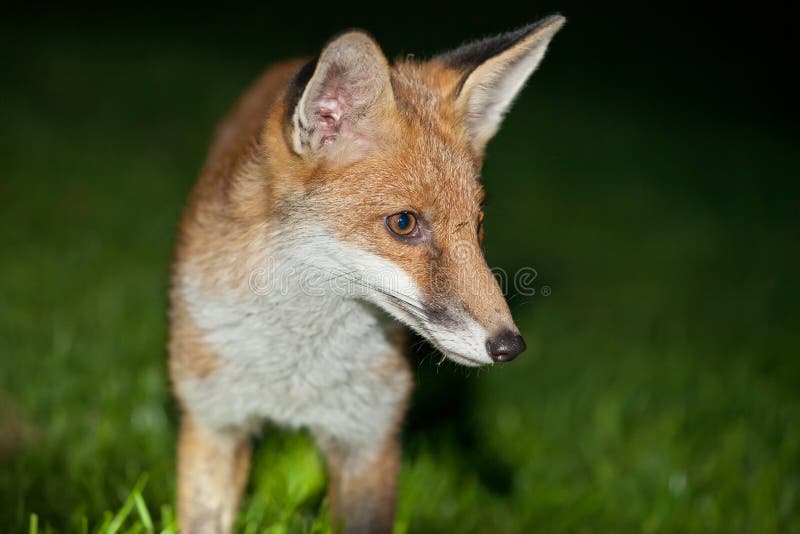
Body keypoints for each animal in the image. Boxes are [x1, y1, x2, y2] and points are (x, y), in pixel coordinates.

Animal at [169, 14, 565, 534]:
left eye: (478, 224)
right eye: (404, 224)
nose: (509, 346)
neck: (295, 378)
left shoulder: (368, 442)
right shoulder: (213, 421)